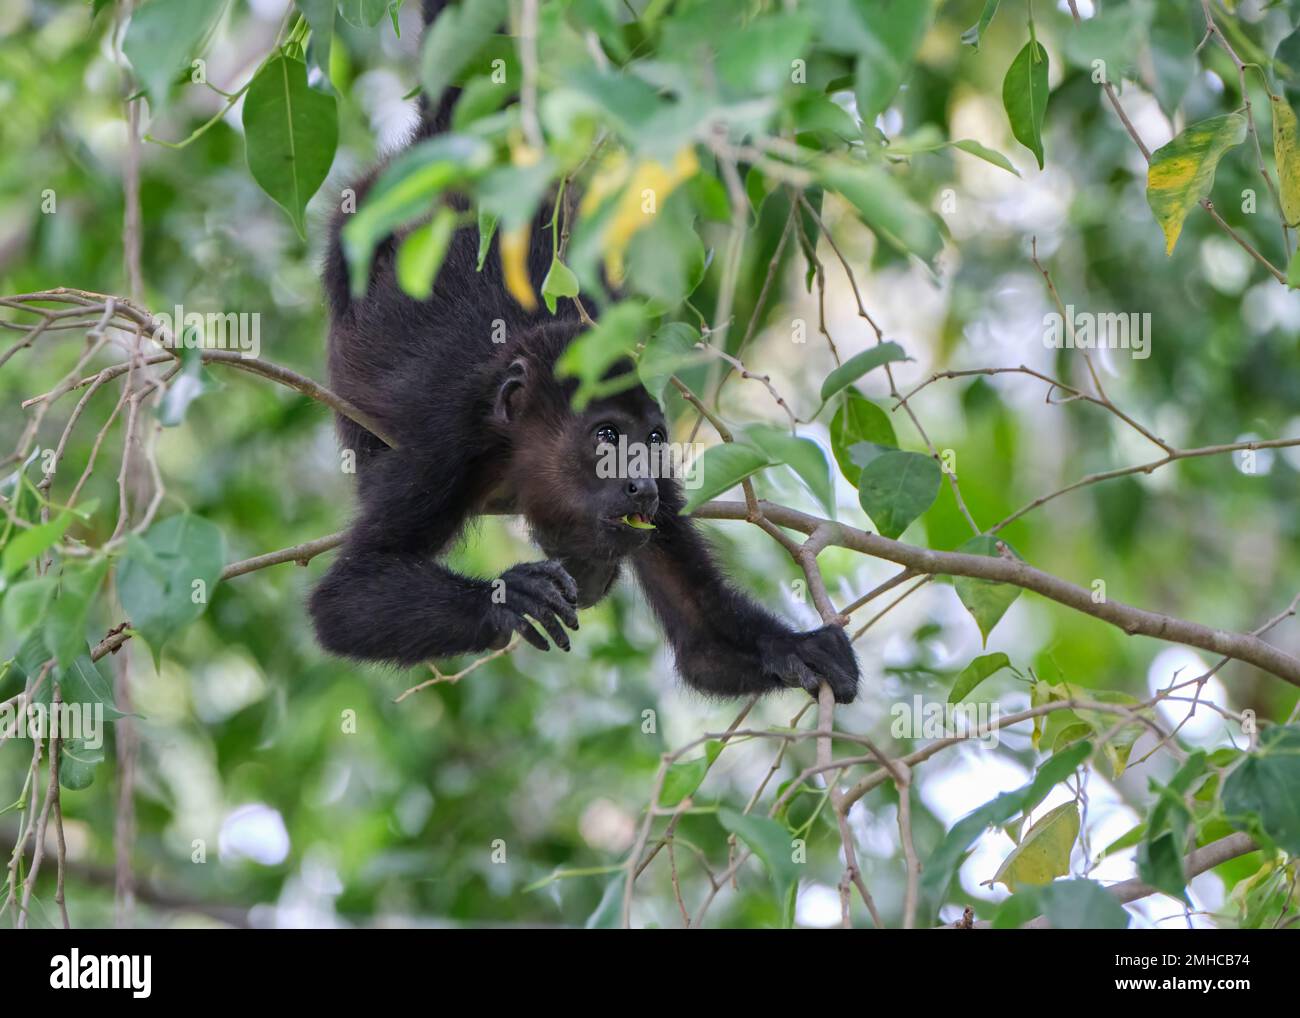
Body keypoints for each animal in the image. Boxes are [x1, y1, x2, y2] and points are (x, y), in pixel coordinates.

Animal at [306, 0, 859, 704]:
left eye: (651, 441)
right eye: (605, 436)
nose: (639, 483)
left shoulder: (666, 495)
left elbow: (703, 639)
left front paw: (801, 649)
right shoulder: (444, 444)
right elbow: (341, 600)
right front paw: (506, 597)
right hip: (364, 216)